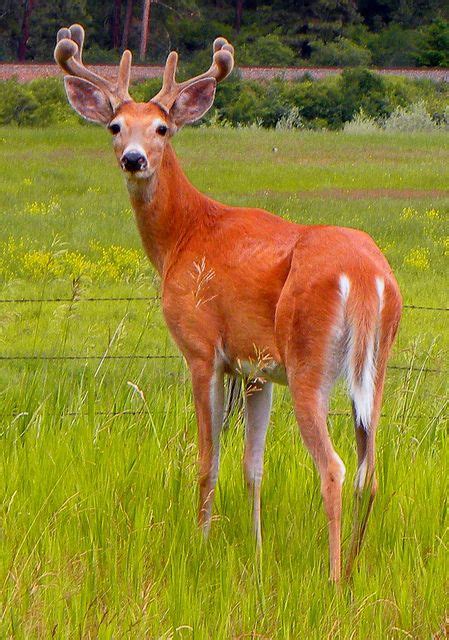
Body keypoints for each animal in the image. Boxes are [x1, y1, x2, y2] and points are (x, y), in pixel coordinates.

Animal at [54, 24, 402, 582]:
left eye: (162, 128)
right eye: (114, 126)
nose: (134, 159)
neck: (184, 236)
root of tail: (368, 277)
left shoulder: (202, 349)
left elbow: (207, 458)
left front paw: (201, 541)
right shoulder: (256, 369)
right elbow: (252, 465)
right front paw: (256, 551)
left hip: (309, 360)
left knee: (334, 467)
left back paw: (331, 579)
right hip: (376, 363)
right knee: (370, 467)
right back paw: (353, 565)